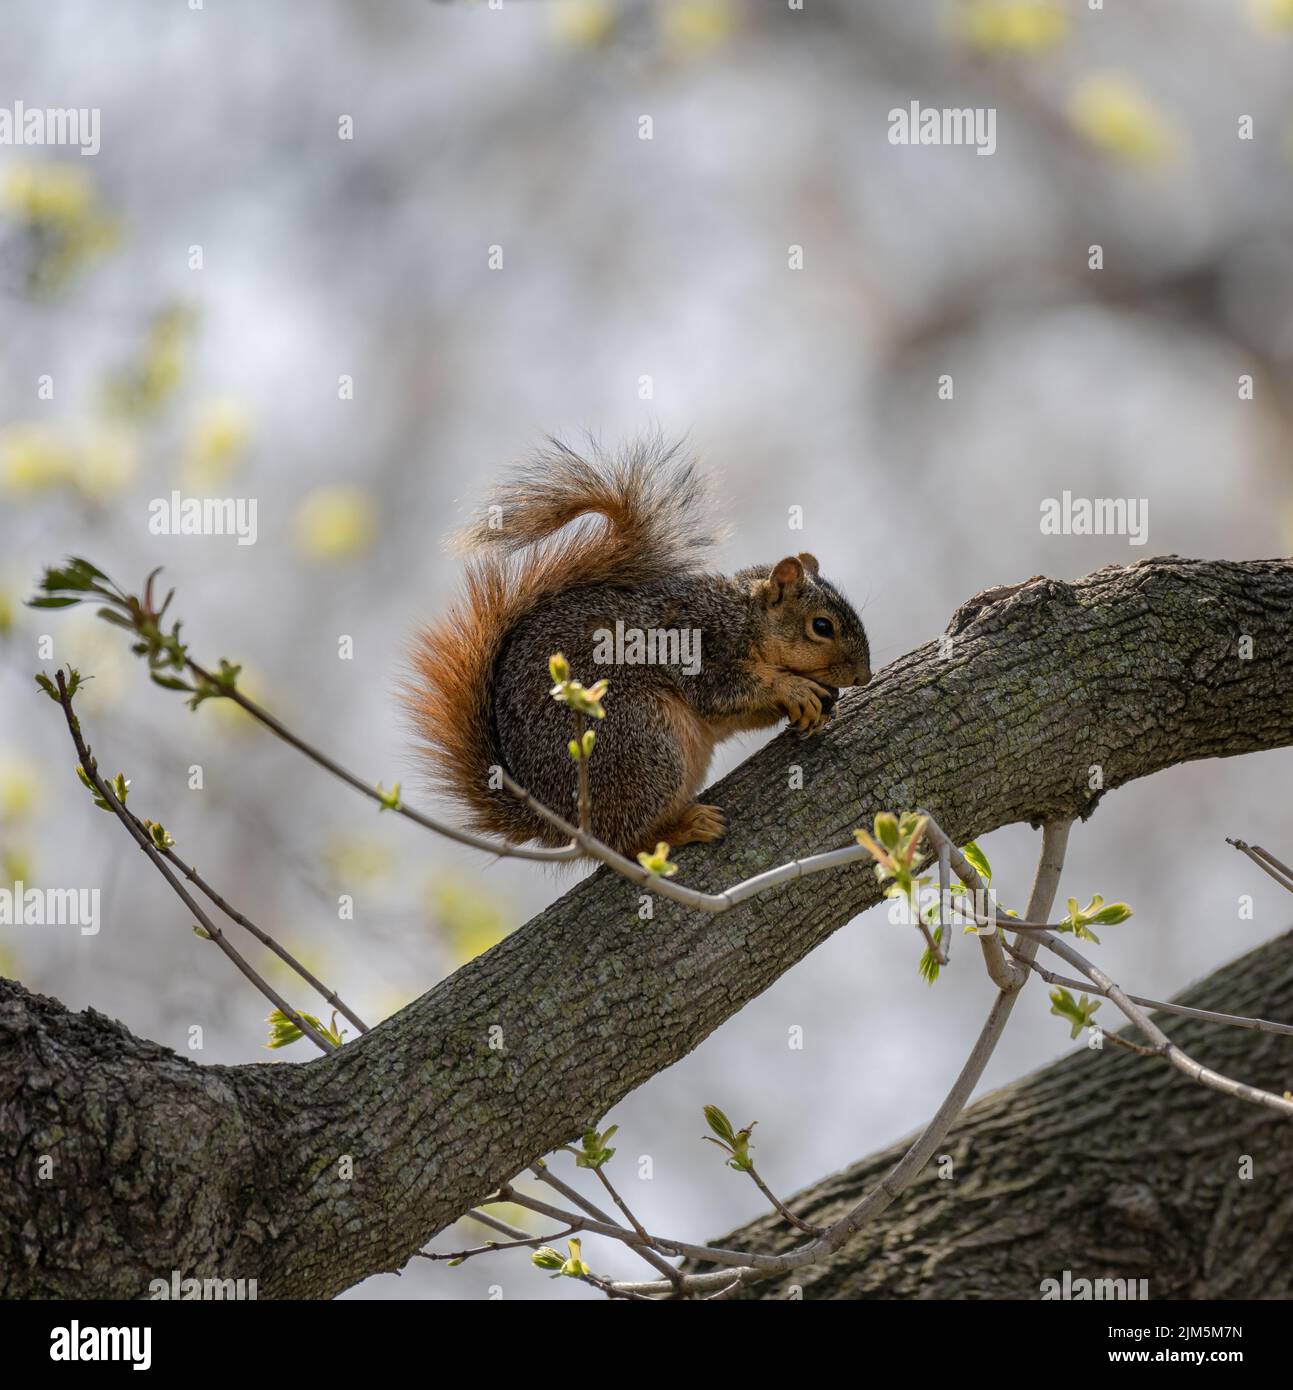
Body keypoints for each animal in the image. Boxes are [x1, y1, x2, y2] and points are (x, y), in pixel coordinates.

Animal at [405, 438, 872, 858]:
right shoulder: (699, 643)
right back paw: (683, 827)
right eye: (822, 626)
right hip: (640, 741)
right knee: (625, 841)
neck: (744, 618)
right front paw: (793, 688)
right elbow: (726, 690)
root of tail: (557, 820)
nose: (863, 676)